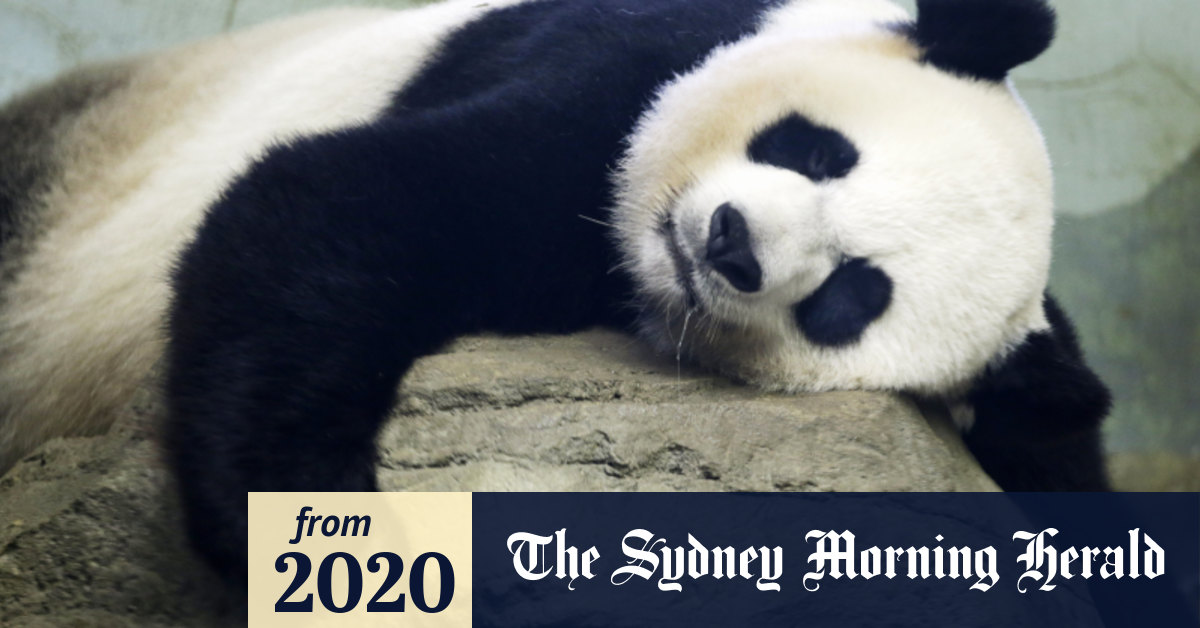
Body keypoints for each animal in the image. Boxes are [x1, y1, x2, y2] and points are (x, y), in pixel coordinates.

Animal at [0, 0, 1110, 580]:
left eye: (852, 295)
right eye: (816, 149)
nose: (731, 244)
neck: (626, 270)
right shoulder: (617, 70)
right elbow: (339, 199)